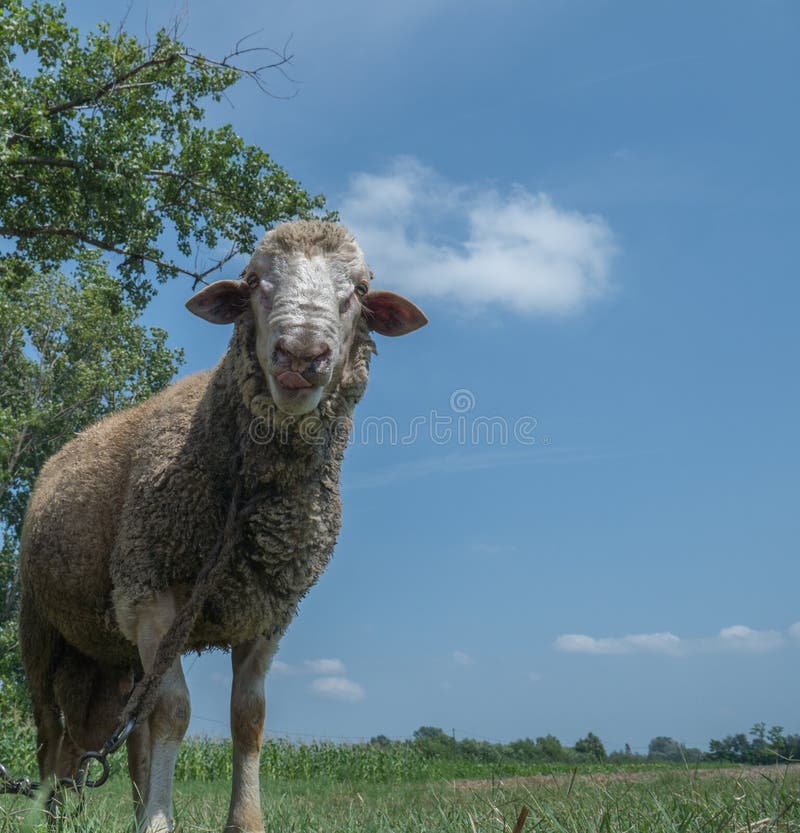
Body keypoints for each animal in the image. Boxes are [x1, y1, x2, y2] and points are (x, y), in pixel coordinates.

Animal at [18, 220, 427, 833]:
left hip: (110, 655)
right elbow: (174, 713)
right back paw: (54, 817)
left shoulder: (269, 612)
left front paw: (243, 820)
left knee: (104, 740)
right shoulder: (149, 595)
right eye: (254, 281)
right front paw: (160, 822)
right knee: (50, 736)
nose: (301, 353)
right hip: (40, 627)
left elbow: (248, 717)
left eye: (358, 290)